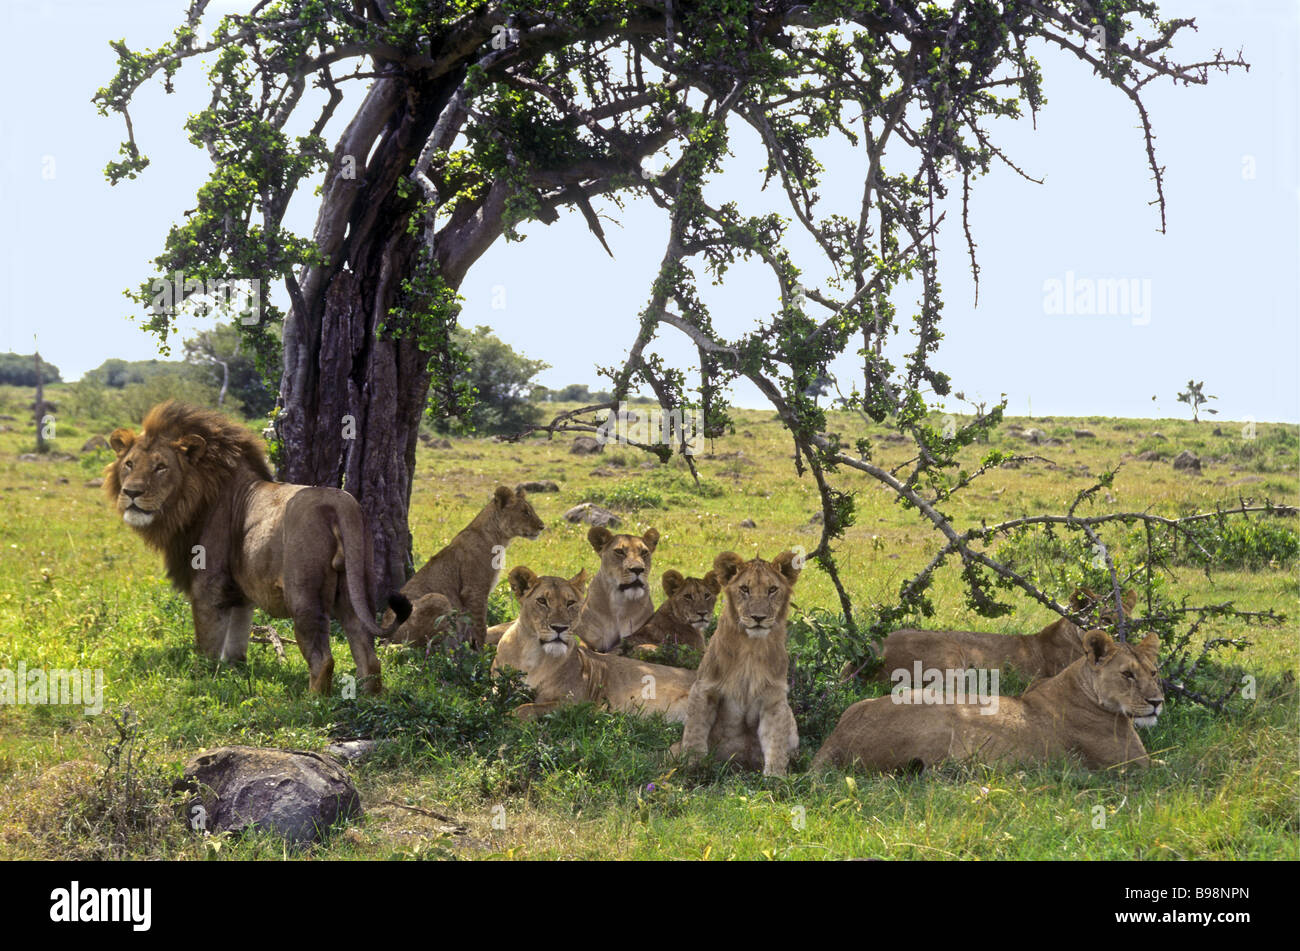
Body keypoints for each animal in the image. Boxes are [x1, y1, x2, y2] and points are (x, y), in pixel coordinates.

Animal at [105, 401, 409, 695]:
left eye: (161, 467)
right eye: (129, 464)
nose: (131, 493)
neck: (194, 498)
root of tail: (340, 503)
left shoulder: (208, 586)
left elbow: (207, 644)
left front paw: (203, 680)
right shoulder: (240, 593)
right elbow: (237, 640)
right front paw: (235, 672)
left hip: (304, 597)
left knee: (323, 660)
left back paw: (311, 704)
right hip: (356, 587)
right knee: (368, 655)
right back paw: (370, 699)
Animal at [383, 485, 544, 648]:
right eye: (525, 512)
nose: (542, 526)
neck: (499, 540)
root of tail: (385, 639)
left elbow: (470, 625)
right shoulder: (474, 590)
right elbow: (480, 625)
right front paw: (480, 651)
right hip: (438, 598)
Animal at [492, 566, 695, 721]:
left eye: (570, 602)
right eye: (542, 601)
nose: (560, 628)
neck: (532, 653)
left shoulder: (576, 701)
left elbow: (526, 708)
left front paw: (507, 718)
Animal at [677, 551, 801, 776]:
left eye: (772, 590)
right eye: (745, 589)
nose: (758, 617)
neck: (751, 646)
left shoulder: (774, 698)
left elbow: (776, 740)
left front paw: (776, 777)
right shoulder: (704, 688)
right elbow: (695, 731)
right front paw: (694, 767)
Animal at [813, 630, 1163, 773]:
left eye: (1154, 672)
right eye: (1127, 675)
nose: (1157, 701)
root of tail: (835, 739)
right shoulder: (1131, 766)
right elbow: (1173, 768)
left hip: (860, 703)